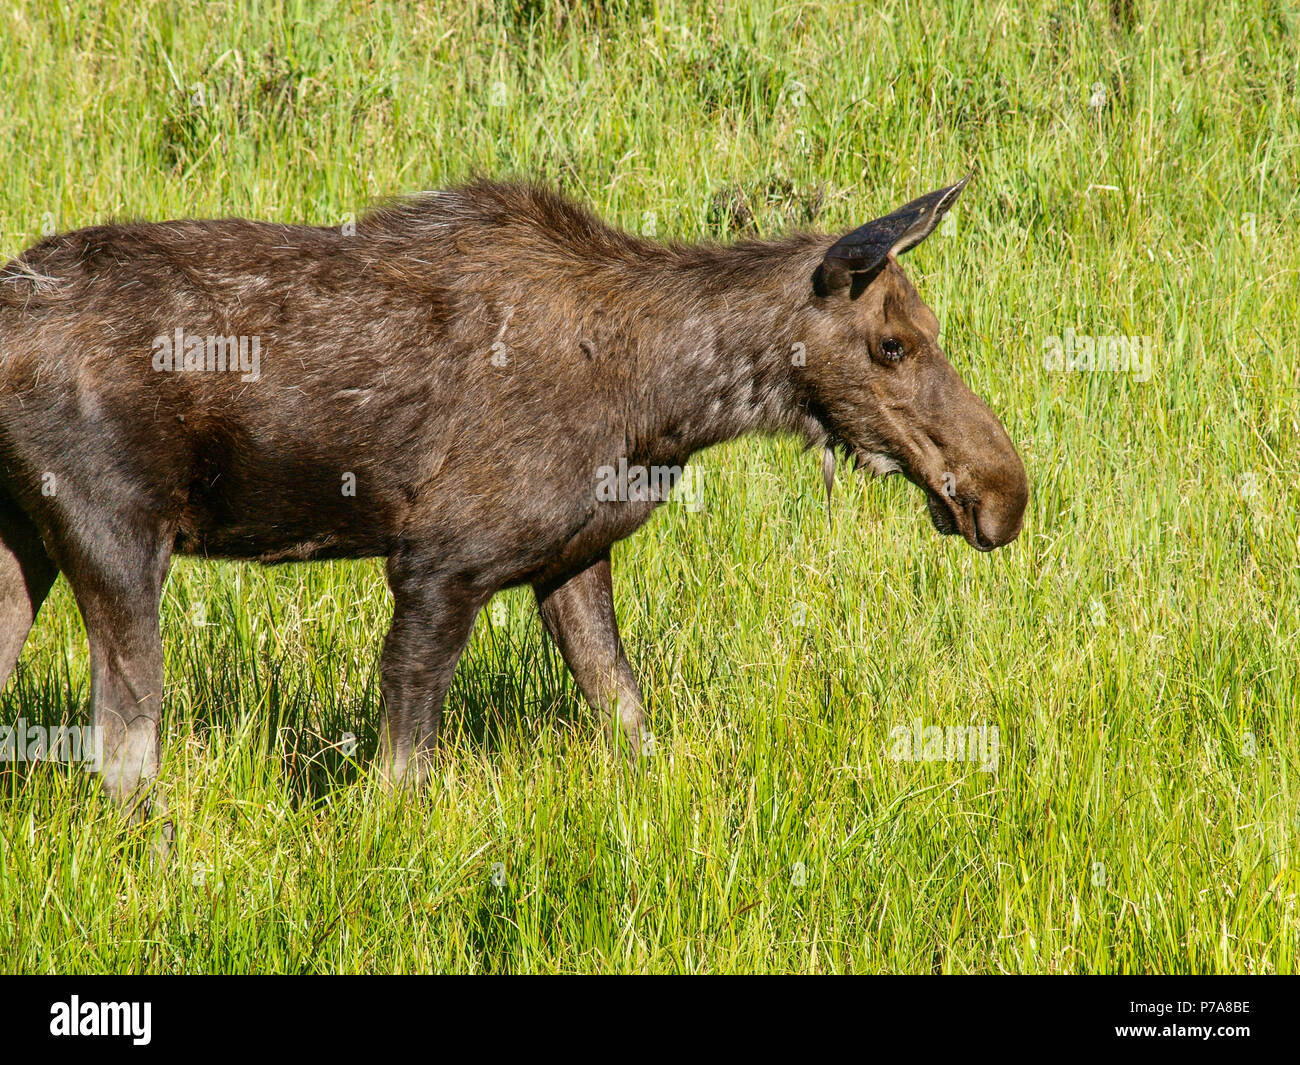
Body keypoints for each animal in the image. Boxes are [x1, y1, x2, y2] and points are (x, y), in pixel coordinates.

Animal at [0, 176, 1027, 833]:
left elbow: (625, 711)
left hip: (24, 543)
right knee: (126, 755)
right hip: (114, 534)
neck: (661, 406)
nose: (1001, 494)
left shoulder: (569, 559)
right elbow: (402, 769)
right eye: (892, 343)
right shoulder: (438, 564)